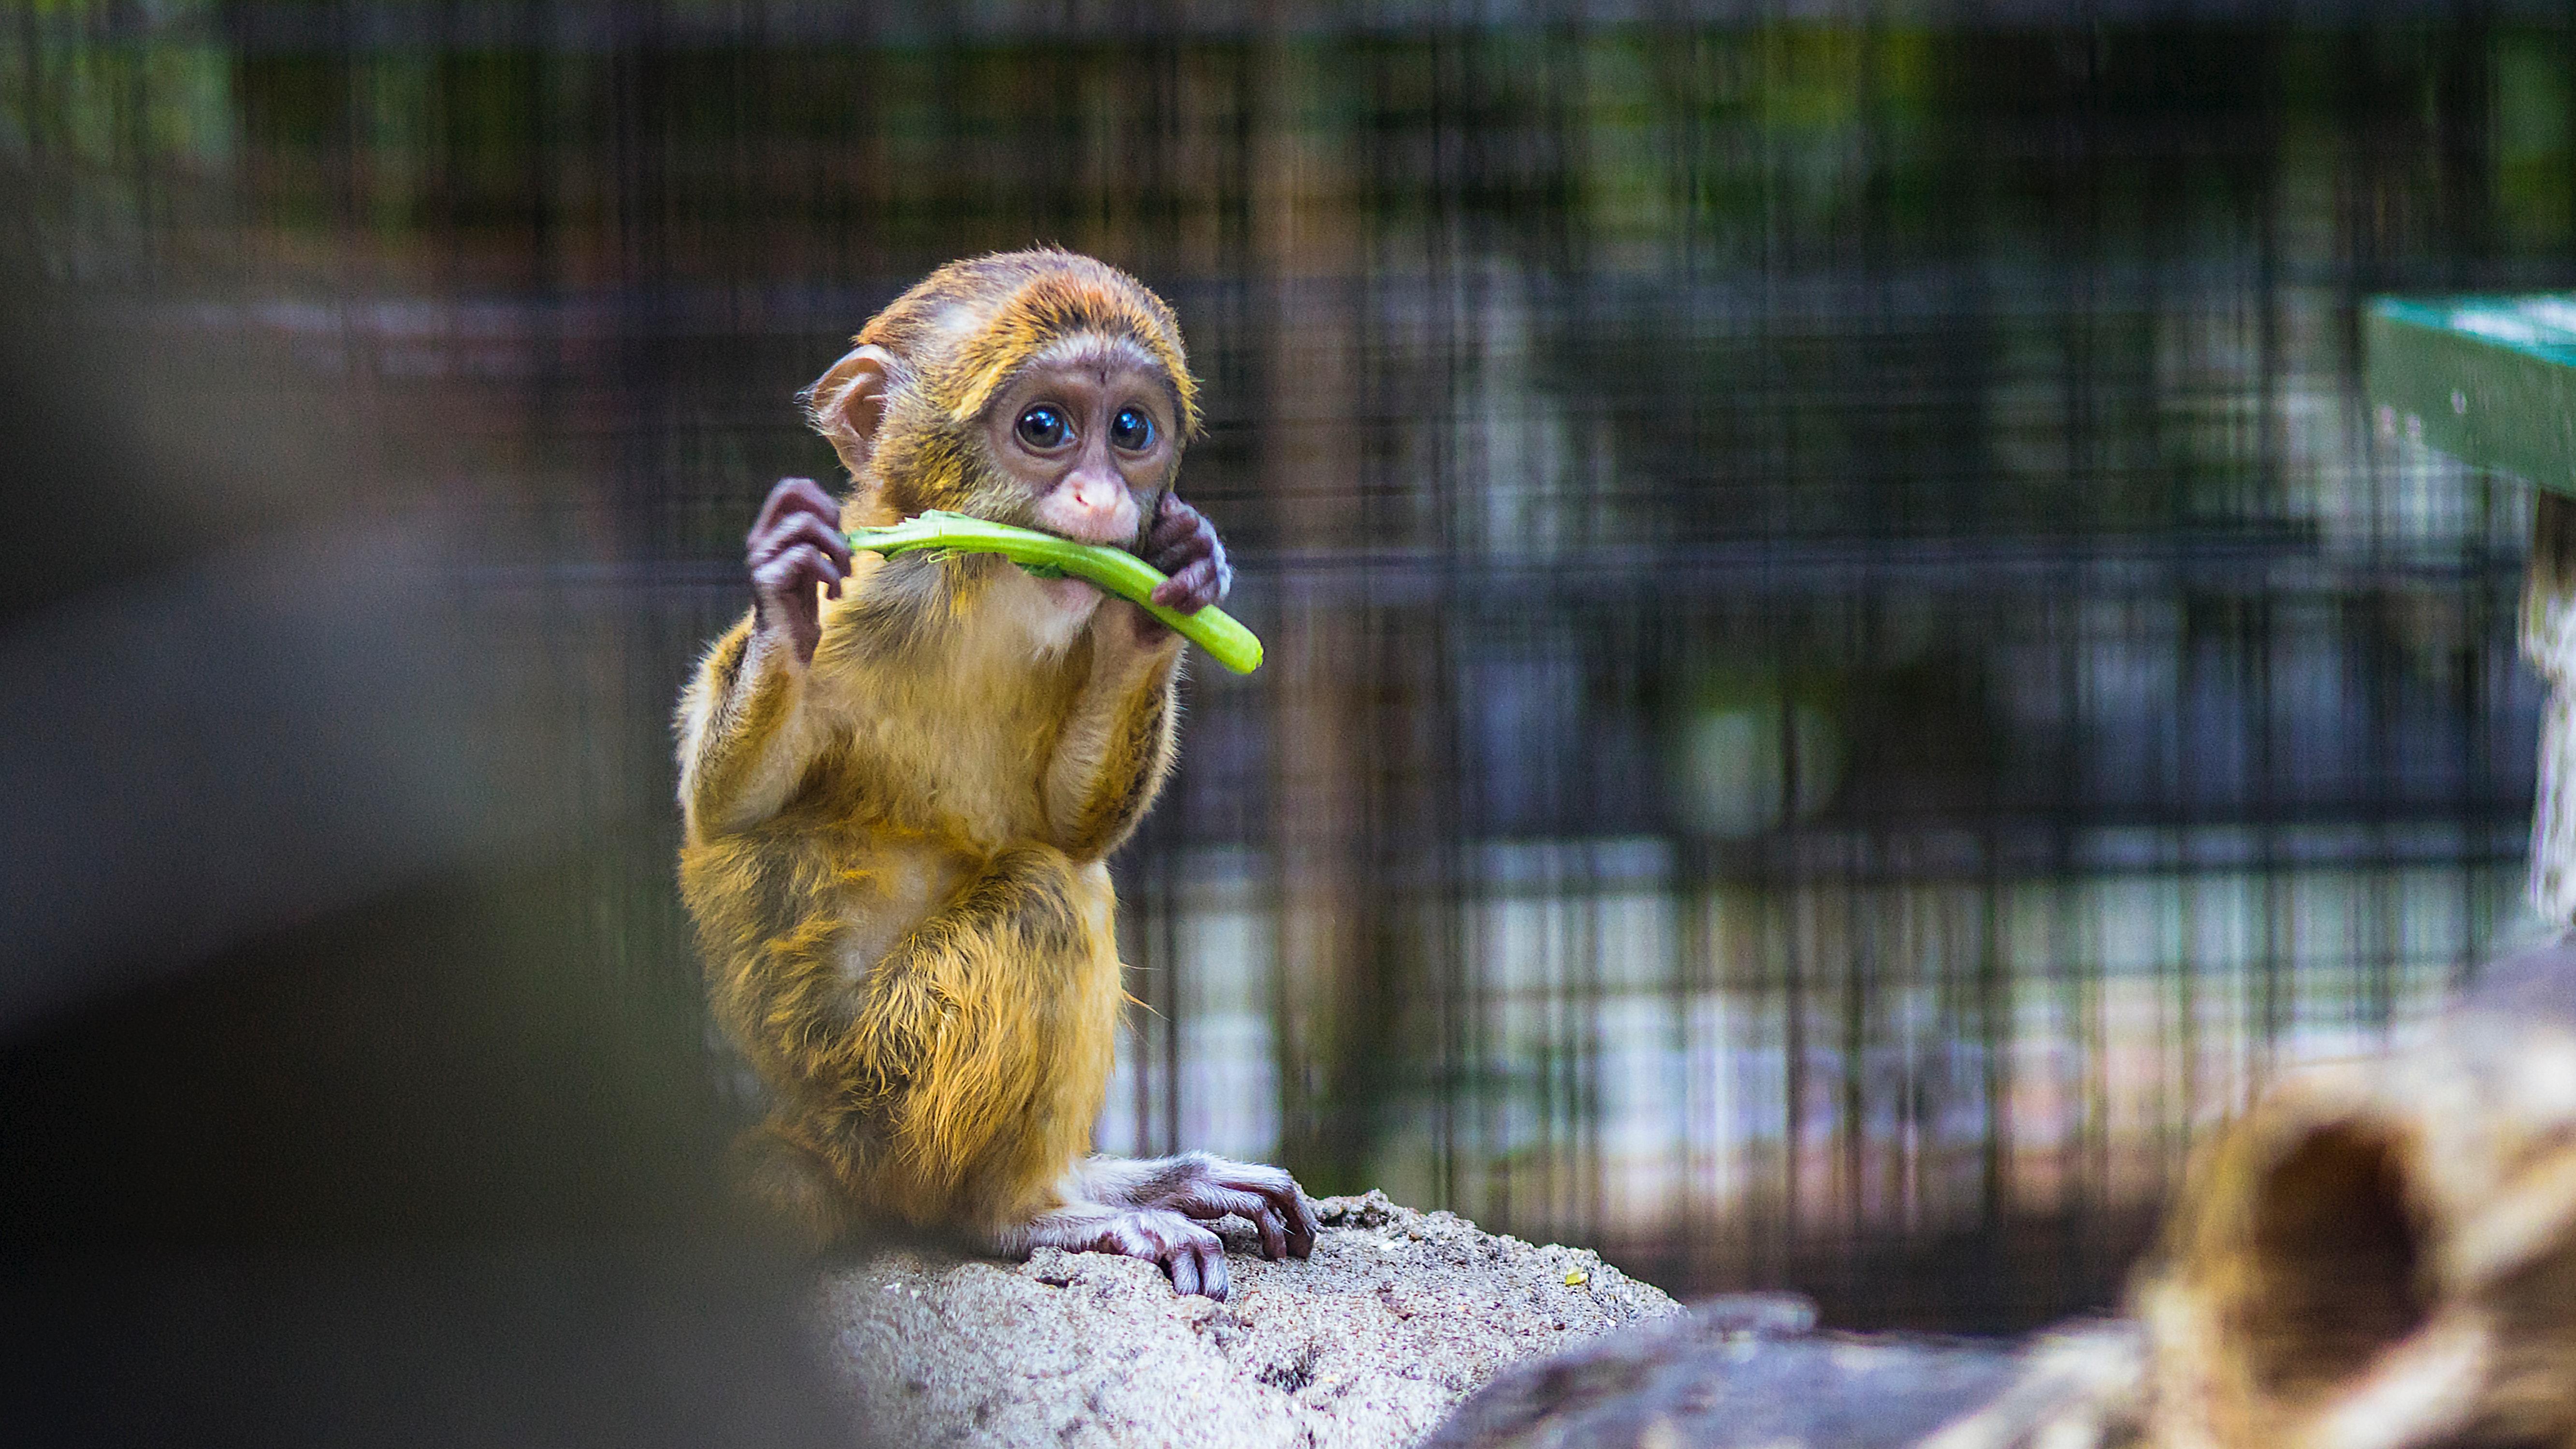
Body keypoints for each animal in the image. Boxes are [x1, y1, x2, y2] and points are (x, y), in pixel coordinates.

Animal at [674, 249, 1316, 1300]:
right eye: (1044, 428)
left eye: (1130, 430)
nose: (1104, 501)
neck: (977, 592)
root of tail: (813, 1135)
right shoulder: (869, 600)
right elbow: (728, 808)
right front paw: (783, 596)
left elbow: (1070, 824)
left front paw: (1165, 594)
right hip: (886, 1092)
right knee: (1046, 898)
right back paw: (1014, 1212)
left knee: (1066, 872)